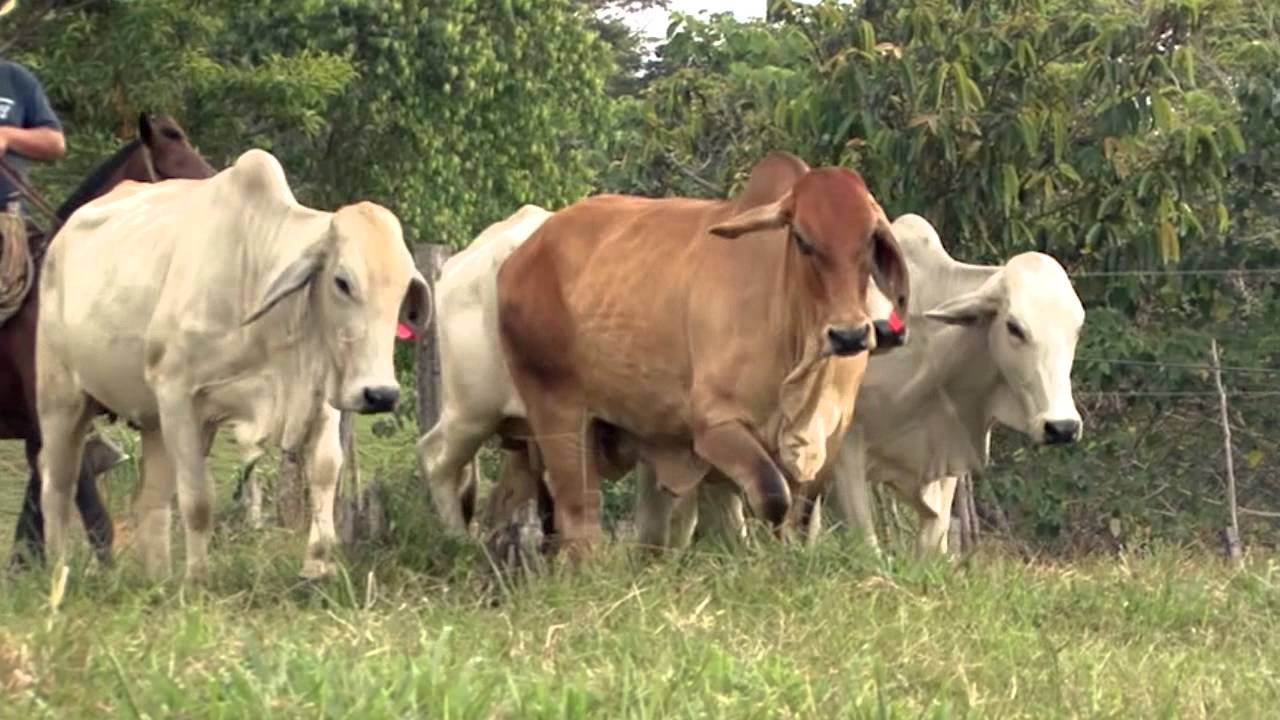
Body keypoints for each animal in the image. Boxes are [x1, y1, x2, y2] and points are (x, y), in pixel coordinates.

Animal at [36, 148, 430, 581]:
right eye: (342, 282)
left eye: (402, 291)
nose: (380, 394)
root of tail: (59, 238)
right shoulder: (179, 397)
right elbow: (197, 500)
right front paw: (198, 580)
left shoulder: (321, 392)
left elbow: (326, 472)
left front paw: (317, 566)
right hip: (63, 400)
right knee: (57, 486)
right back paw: (57, 572)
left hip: (152, 421)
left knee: (149, 500)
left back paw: (158, 580)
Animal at [494, 159, 910, 560]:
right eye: (803, 240)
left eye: (870, 239)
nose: (850, 335)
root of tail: (524, 255)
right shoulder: (714, 425)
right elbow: (773, 497)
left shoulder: (832, 437)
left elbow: (803, 513)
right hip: (558, 415)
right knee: (578, 519)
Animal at [639, 213, 1085, 554]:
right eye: (1014, 327)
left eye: (1077, 326)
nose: (1062, 427)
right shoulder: (847, 449)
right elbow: (866, 542)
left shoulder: (943, 454)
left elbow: (932, 543)